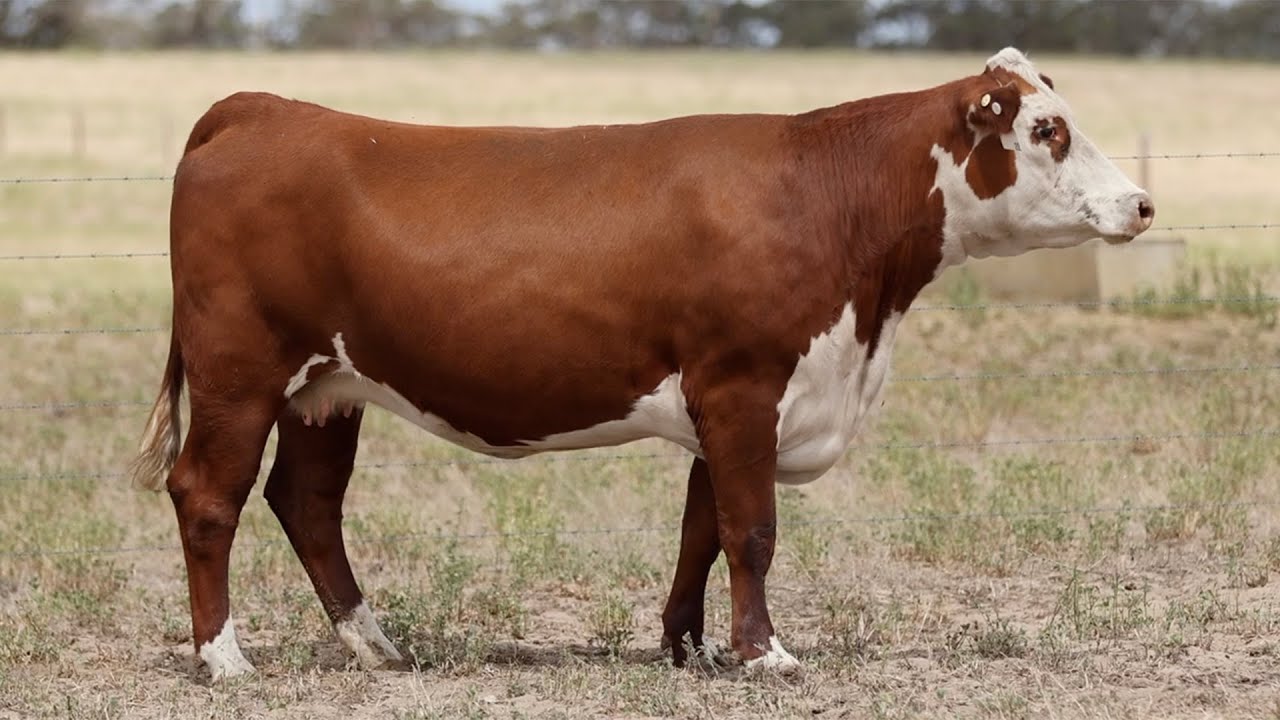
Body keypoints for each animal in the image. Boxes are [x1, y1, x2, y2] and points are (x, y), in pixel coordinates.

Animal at [129, 47, 1153, 681]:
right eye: (1047, 131)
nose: (1142, 205)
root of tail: (262, 108)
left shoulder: (726, 402)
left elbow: (702, 529)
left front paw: (689, 649)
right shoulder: (743, 385)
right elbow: (752, 530)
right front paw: (765, 654)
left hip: (326, 388)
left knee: (307, 503)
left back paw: (377, 647)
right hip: (240, 370)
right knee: (209, 495)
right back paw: (223, 658)